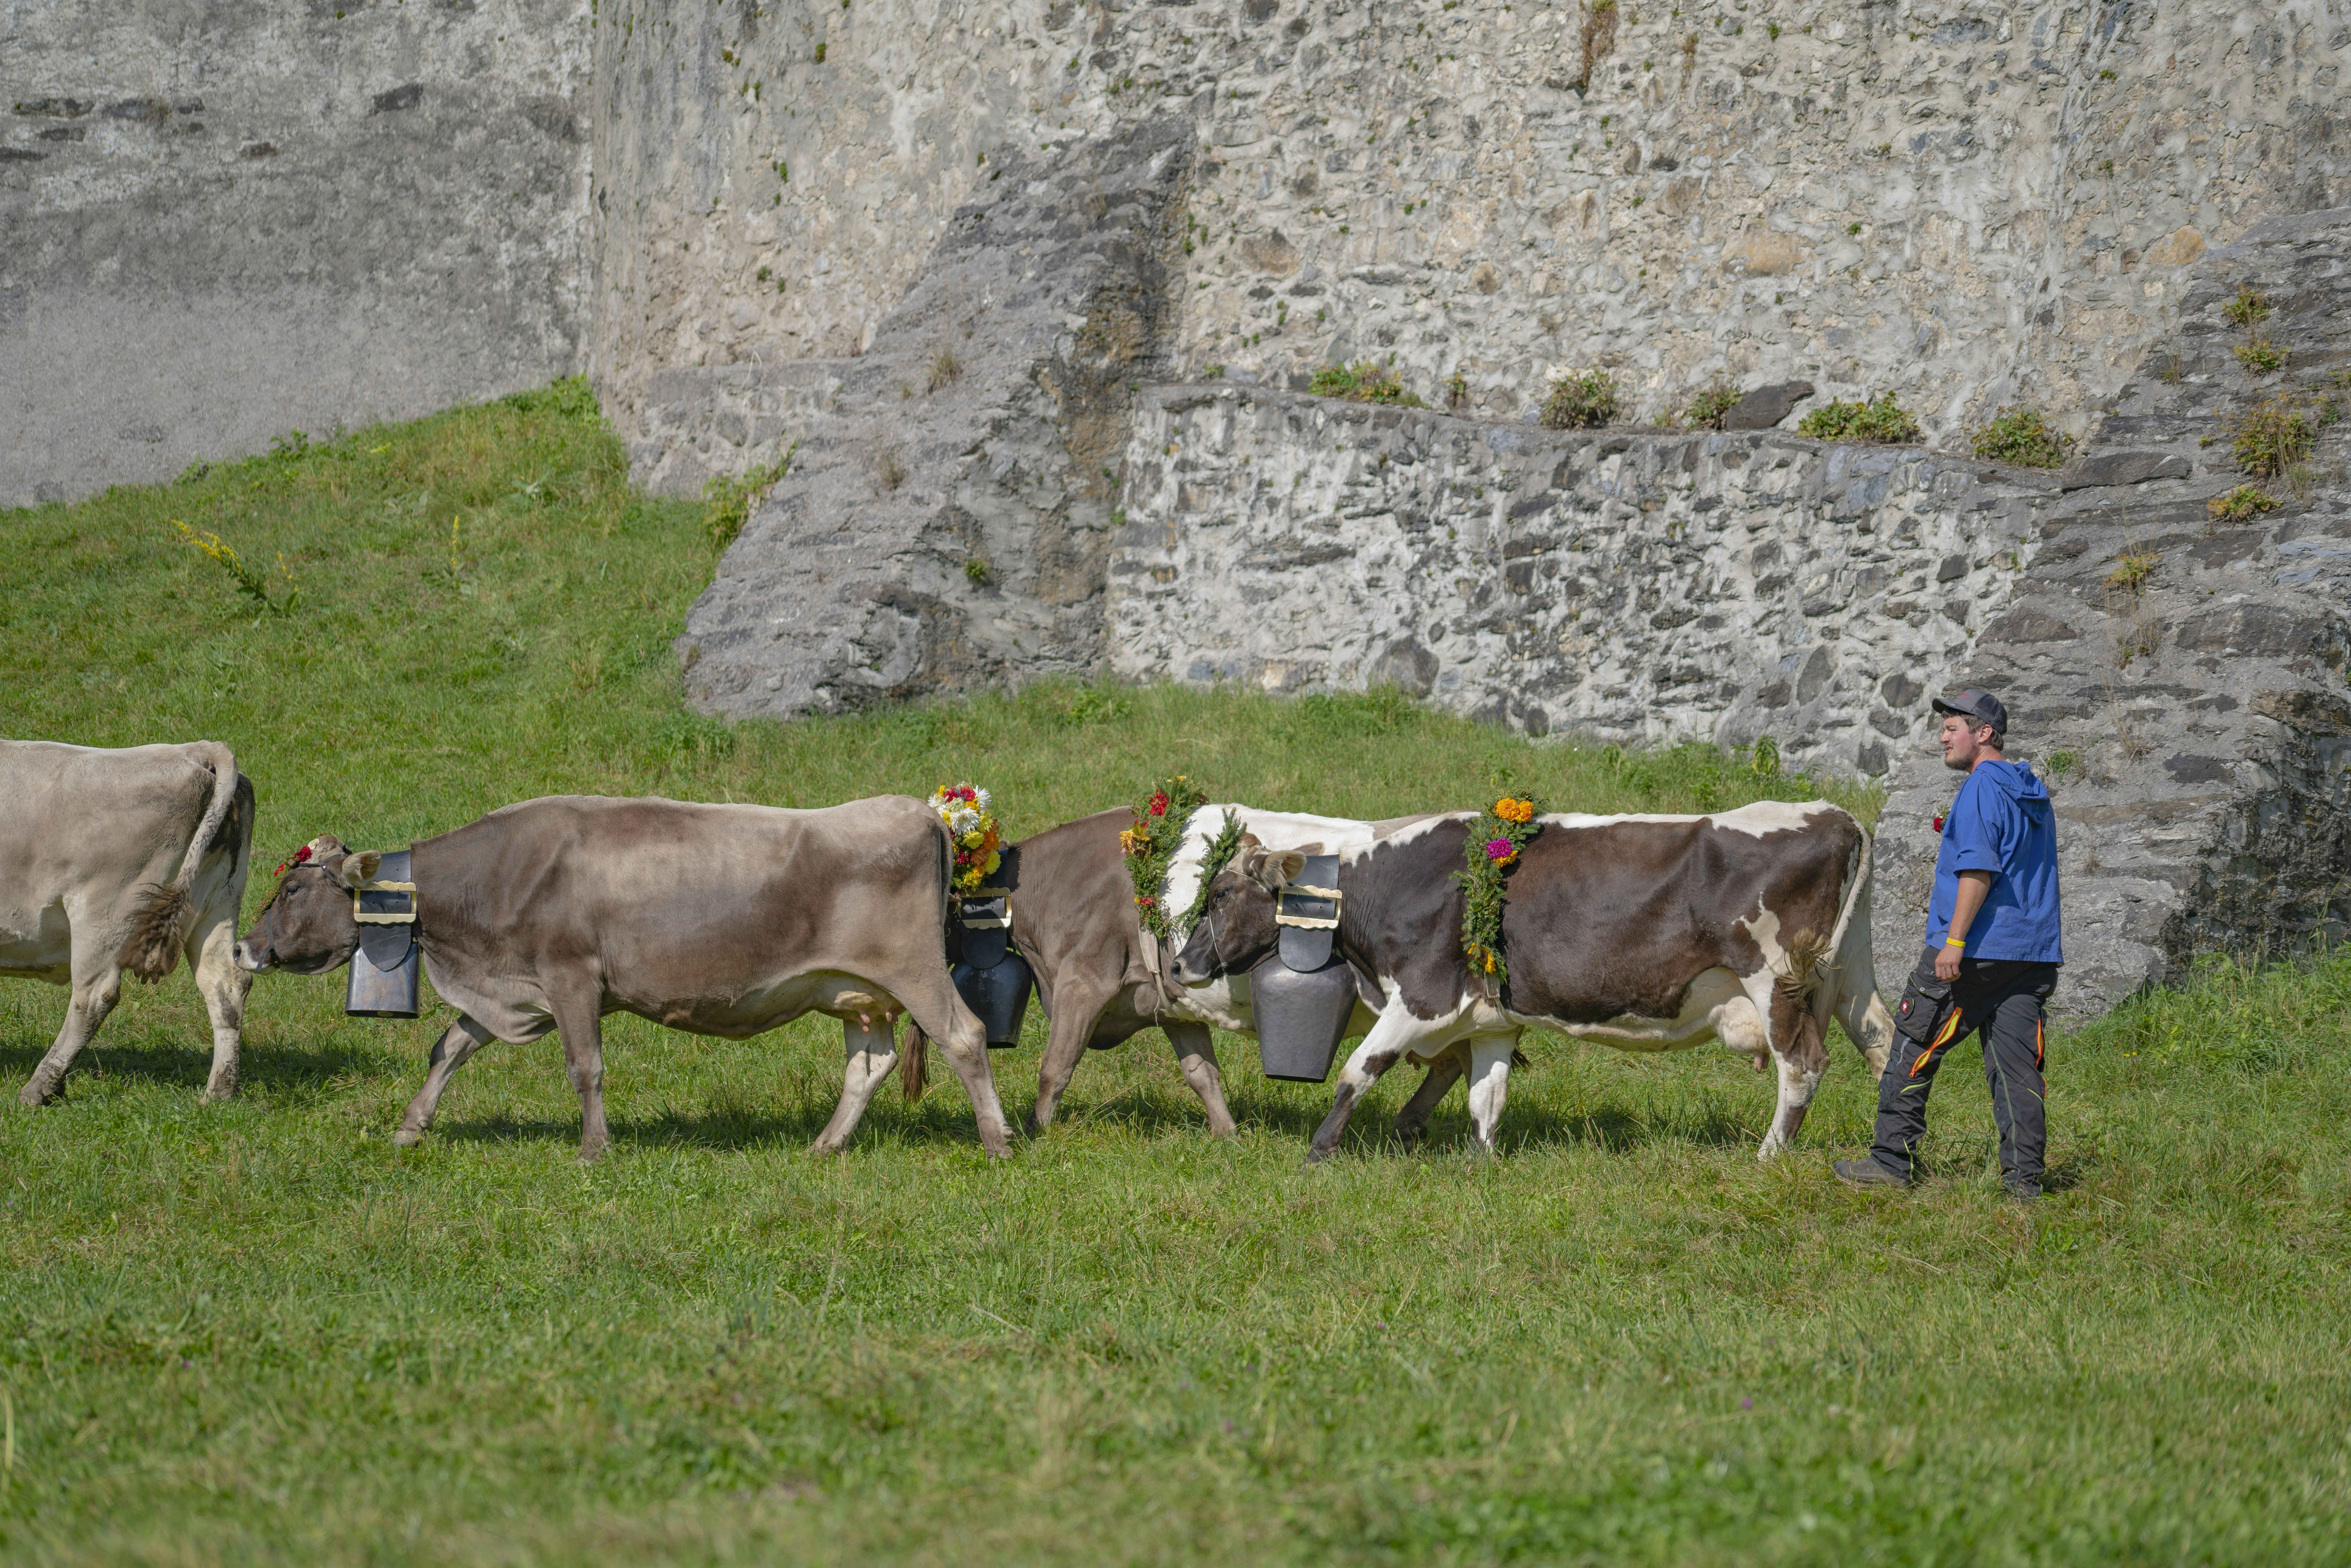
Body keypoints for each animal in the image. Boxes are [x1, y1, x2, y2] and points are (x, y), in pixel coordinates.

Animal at [2, 740, 254, 1106]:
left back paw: (39, 1088)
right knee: (226, 986)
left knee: (94, 998)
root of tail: (195, 750)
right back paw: (219, 1093)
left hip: (104, 914)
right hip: (220, 900)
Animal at [232, 794, 1012, 1160]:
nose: (245, 946)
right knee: (870, 1064)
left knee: (966, 1036)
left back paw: (998, 1140)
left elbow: (586, 1067)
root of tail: (912, 810)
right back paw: (825, 1143)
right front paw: (410, 1128)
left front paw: (592, 1148)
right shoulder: (508, 989)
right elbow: (447, 1049)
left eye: (293, 890)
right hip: (856, 993)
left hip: (913, 968)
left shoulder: (570, 975)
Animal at [901, 805, 1411, 1135]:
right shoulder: (1171, 1003)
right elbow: (1202, 1073)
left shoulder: (1082, 982)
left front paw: (1035, 1132)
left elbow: (1056, 1066)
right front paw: (1227, 1134)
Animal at [1169, 801, 1897, 1162]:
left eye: (1222, 893)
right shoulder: (1490, 1017)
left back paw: (1769, 1156)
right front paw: (1482, 1164)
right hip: (1850, 976)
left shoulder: (1424, 998)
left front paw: (1320, 1151)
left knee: (1802, 1064)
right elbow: (1484, 1097)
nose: (1179, 964)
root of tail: (1834, 813)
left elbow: (1359, 1069)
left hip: (1777, 981)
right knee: (1886, 1046)